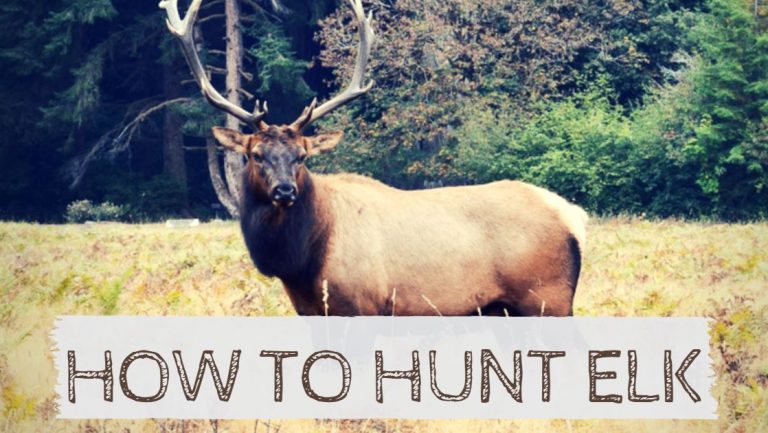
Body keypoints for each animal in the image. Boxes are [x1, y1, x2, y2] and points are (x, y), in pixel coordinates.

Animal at [160, 0, 588, 316]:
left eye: (301, 156)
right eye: (255, 154)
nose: (284, 191)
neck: (303, 261)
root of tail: (574, 216)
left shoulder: (362, 305)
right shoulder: (312, 310)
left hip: (546, 298)